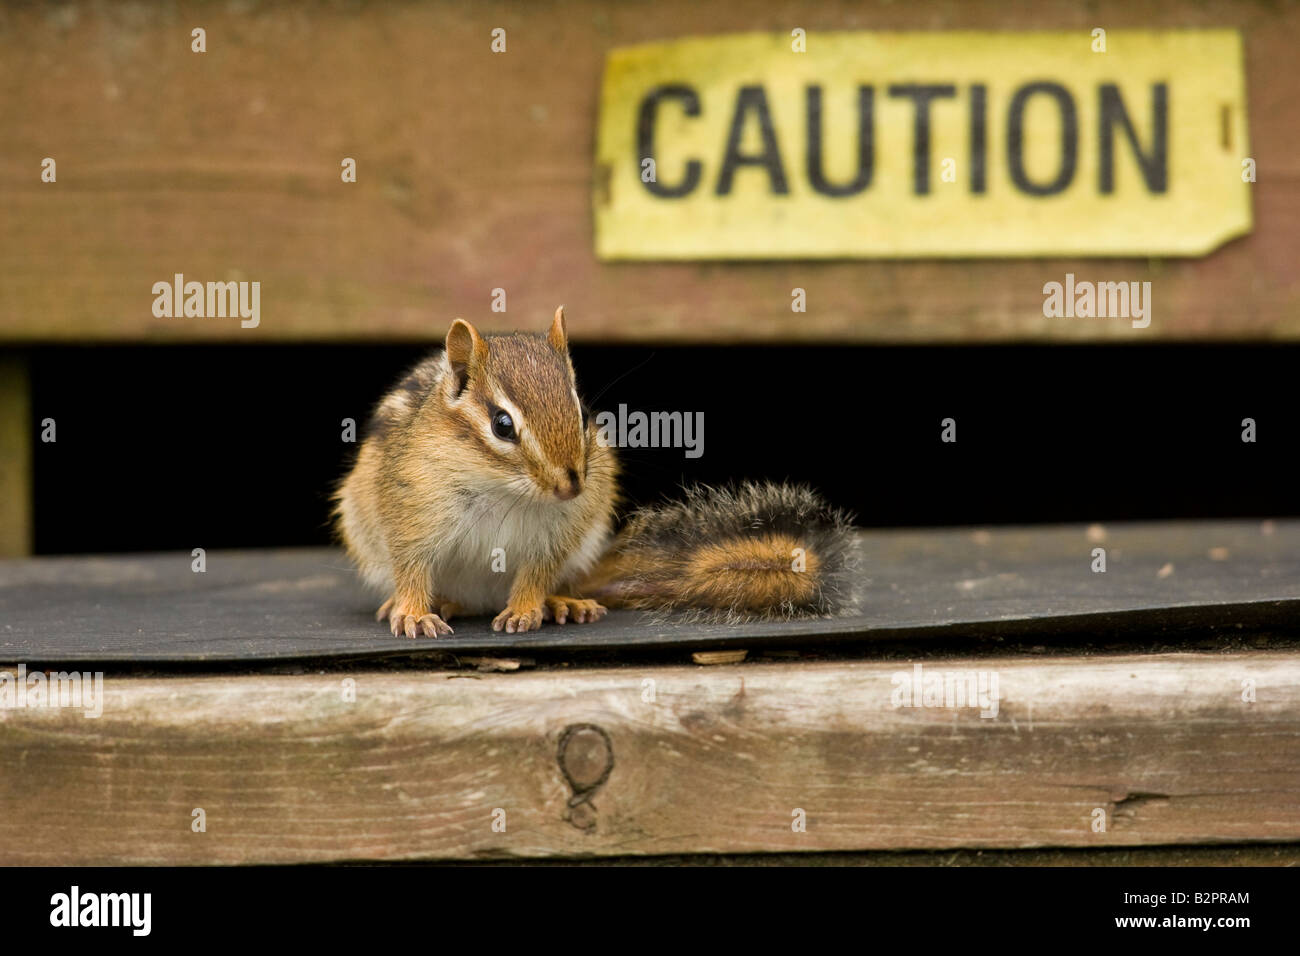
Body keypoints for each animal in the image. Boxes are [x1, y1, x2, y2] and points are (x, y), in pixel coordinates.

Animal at [333, 306, 856, 637]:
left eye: (583, 414)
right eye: (502, 425)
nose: (572, 485)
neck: (503, 490)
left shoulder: (557, 532)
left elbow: (537, 573)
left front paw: (528, 607)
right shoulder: (413, 509)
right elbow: (411, 567)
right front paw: (413, 611)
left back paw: (564, 602)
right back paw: (435, 603)